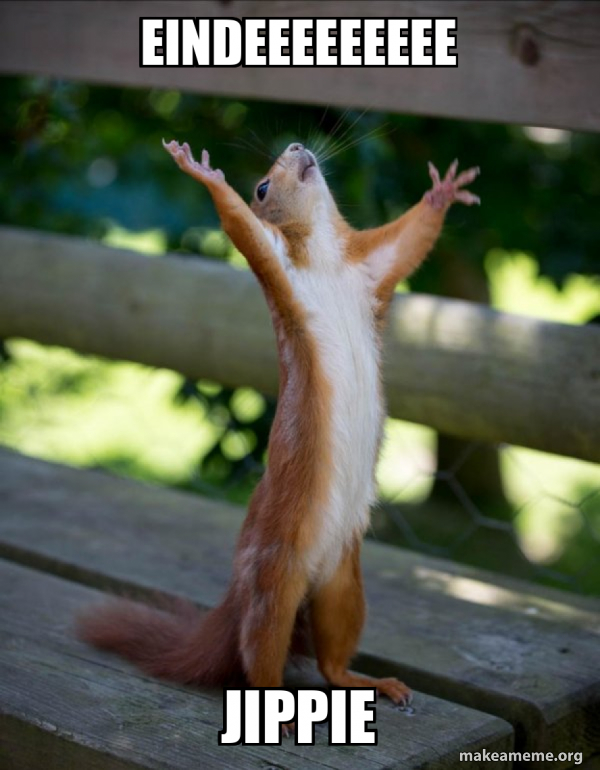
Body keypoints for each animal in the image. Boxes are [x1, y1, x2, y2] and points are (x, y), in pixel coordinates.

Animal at [78, 138, 479, 715]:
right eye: (262, 187)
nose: (296, 146)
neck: (327, 258)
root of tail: (239, 594)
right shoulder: (276, 264)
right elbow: (240, 226)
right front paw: (204, 174)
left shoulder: (372, 267)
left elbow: (410, 240)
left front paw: (442, 192)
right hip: (274, 583)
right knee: (260, 655)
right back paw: (280, 711)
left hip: (343, 585)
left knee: (332, 661)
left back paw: (369, 681)